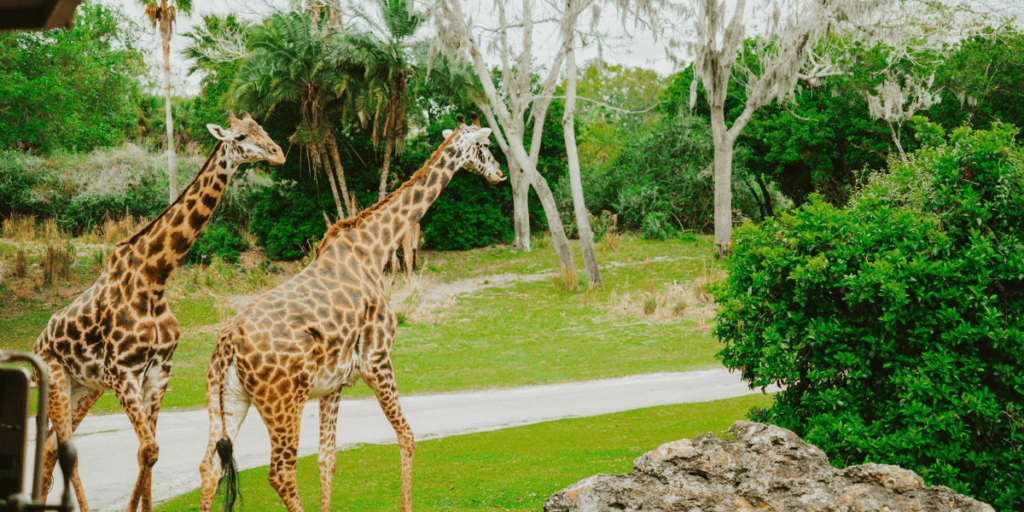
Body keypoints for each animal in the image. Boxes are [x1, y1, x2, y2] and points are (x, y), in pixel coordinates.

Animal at [31, 111, 284, 512]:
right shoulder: (123, 372)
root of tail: (38, 342)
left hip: (84, 387)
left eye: (262, 128)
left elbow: (148, 453)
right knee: (65, 449)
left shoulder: (158, 370)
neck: (154, 276)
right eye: (240, 137)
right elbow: (148, 449)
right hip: (56, 378)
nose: (278, 154)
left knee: (53, 448)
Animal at [198, 114, 504, 512]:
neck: (375, 246)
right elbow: (407, 436)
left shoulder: (334, 383)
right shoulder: (378, 359)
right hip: (282, 402)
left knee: (210, 468)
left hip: (227, 399)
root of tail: (228, 343)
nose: (499, 174)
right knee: (280, 471)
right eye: (485, 146)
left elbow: (327, 457)